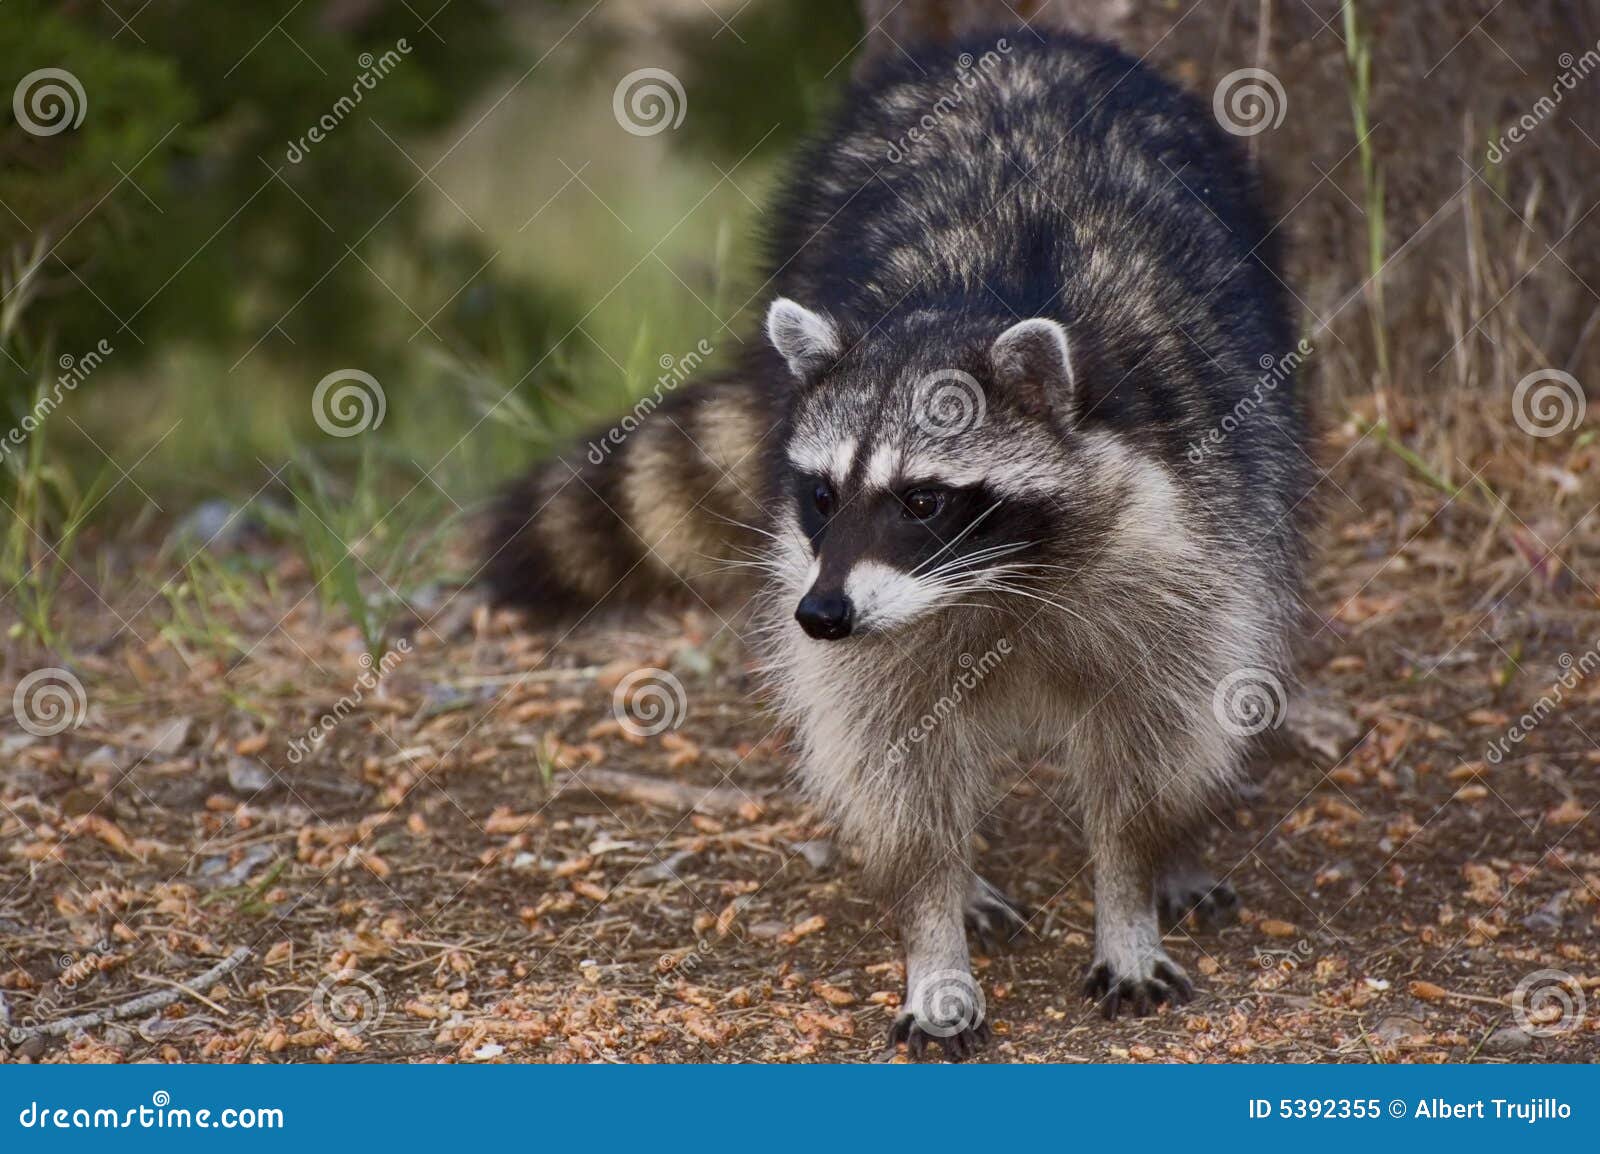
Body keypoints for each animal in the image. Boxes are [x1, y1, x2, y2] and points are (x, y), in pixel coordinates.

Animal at [485, 30, 1310, 1059]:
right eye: (823, 494)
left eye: (923, 499)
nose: (821, 616)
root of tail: (1032, 40)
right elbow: (892, 770)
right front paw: (934, 931)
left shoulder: (1186, 531)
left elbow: (1155, 735)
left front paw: (1129, 890)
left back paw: (1180, 849)